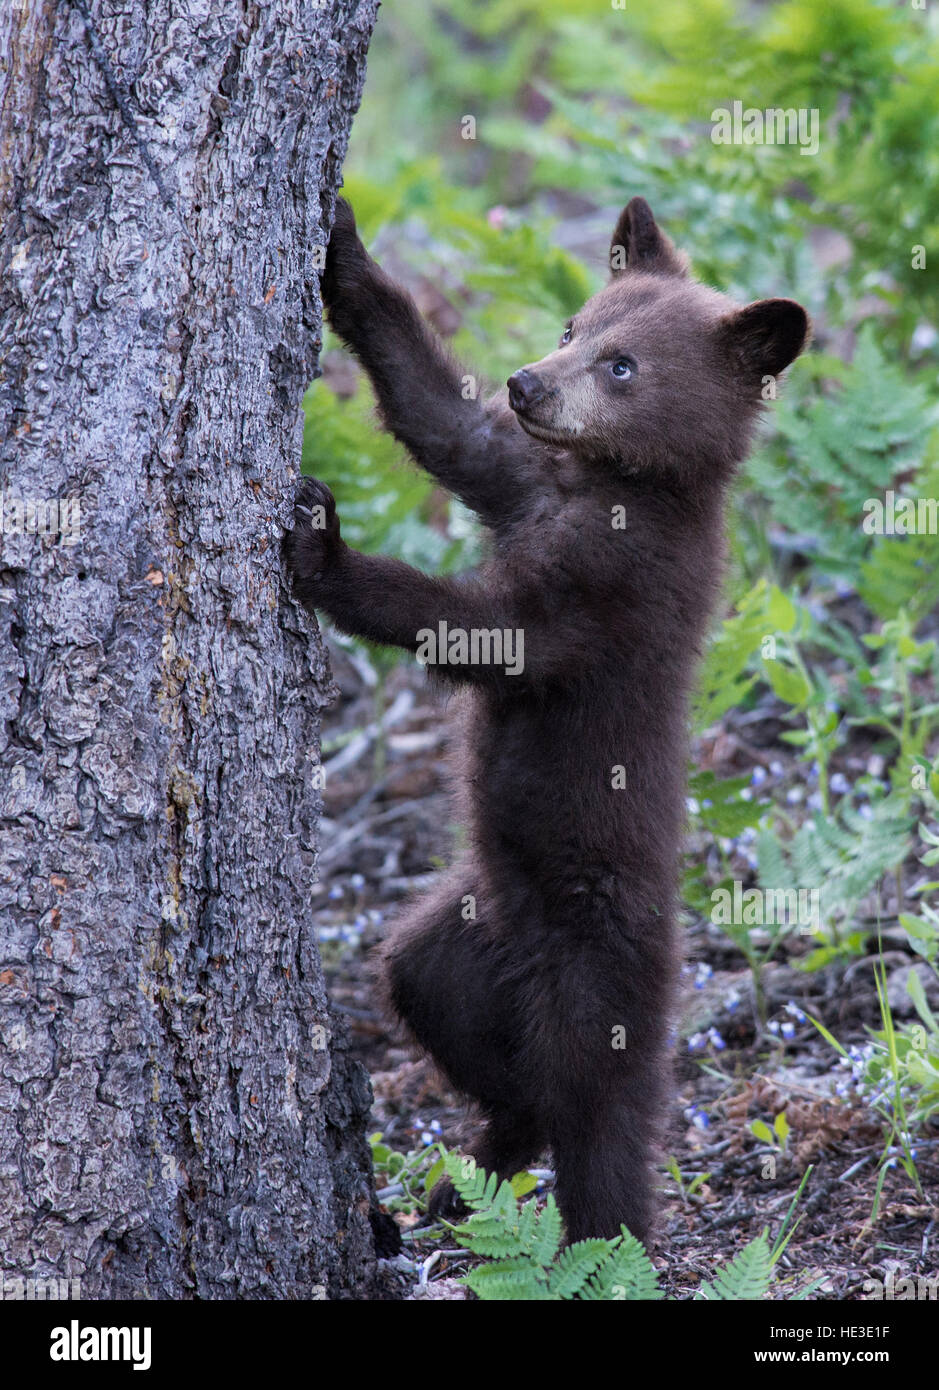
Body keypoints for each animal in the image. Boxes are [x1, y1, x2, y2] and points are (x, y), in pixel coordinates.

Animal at [285, 195, 809, 1245]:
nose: (528, 381)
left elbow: (492, 631)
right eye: (574, 328)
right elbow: (439, 420)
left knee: (596, 1124)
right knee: (455, 1021)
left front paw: (323, 551)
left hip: (596, 978)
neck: (603, 485)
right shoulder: (520, 475)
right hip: (455, 942)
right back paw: (461, 1178)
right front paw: (344, 251)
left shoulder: (618, 586)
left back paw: (596, 1240)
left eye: (623, 367)